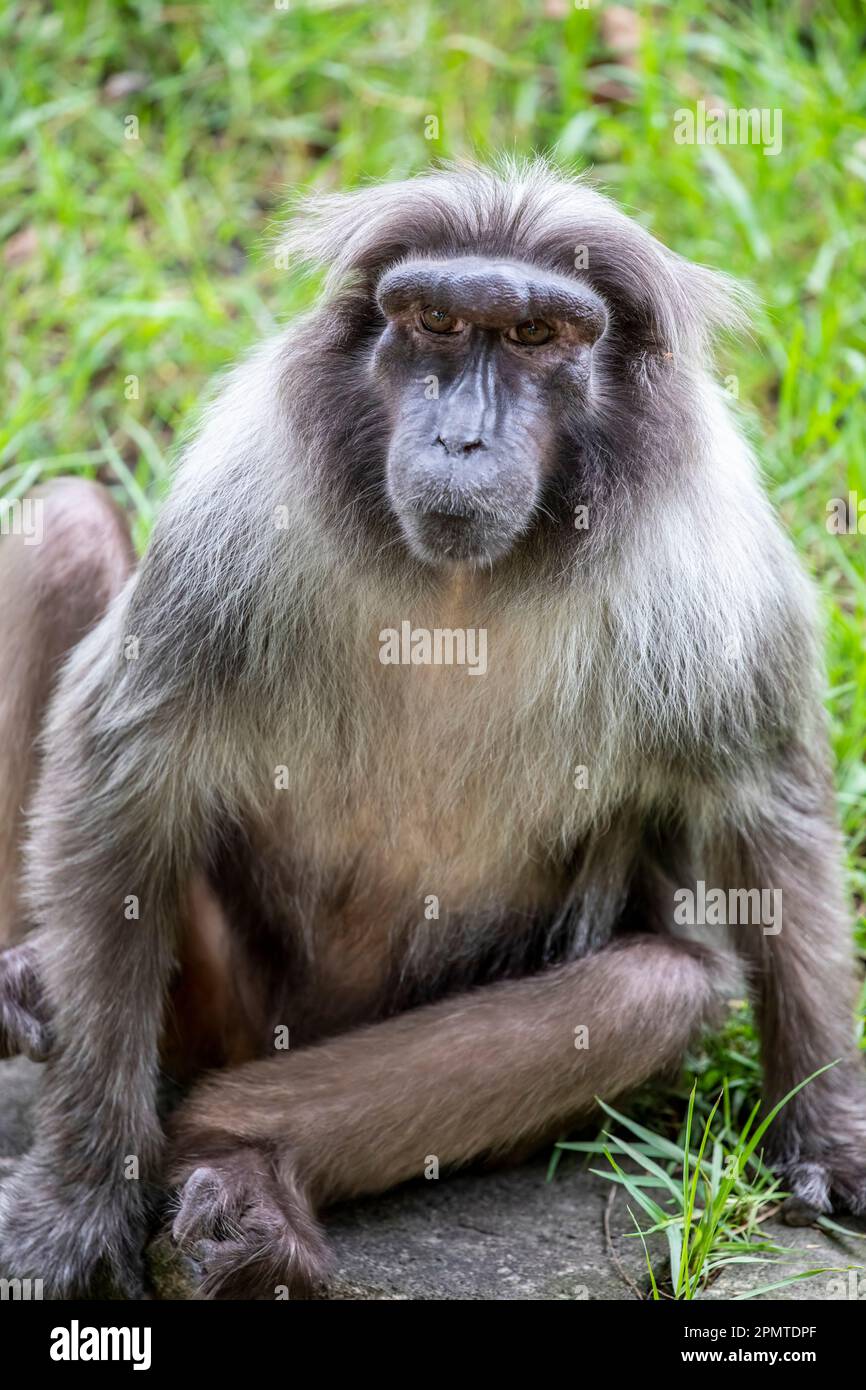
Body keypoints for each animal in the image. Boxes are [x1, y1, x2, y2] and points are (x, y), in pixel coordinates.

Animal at [0, 158, 864, 1300]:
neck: (464, 585)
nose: (462, 436)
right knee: (59, 527)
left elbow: (770, 814)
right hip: (217, 998)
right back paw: (31, 979)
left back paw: (242, 1156)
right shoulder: (241, 508)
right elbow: (123, 771)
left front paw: (829, 1131)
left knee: (657, 987)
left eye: (537, 336)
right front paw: (77, 1196)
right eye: (440, 324)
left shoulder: (713, 557)